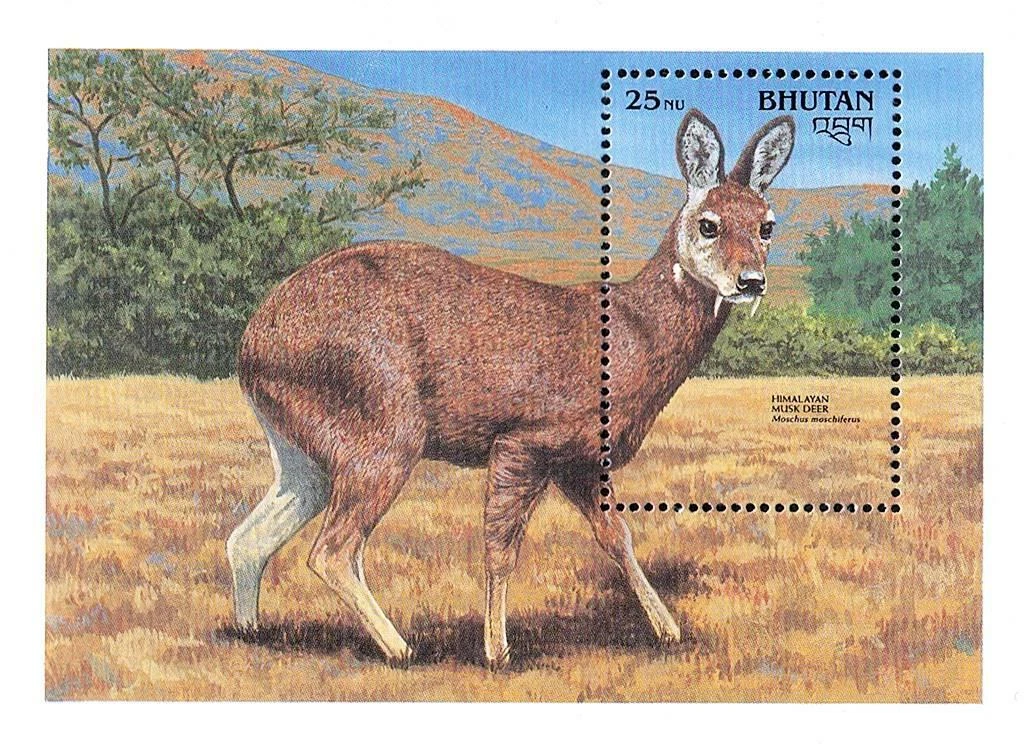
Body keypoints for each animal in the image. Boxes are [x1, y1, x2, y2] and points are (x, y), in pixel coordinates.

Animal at [228, 108, 795, 668]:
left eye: (766, 226)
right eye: (708, 224)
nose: (750, 280)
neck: (630, 335)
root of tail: (252, 343)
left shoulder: (579, 460)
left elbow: (618, 538)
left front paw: (668, 630)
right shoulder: (525, 438)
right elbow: (501, 550)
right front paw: (497, 650)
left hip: (305, 449)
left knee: (247, 538)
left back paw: (253, 629)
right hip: (382, 425)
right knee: (332, 550)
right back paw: (402, 647)